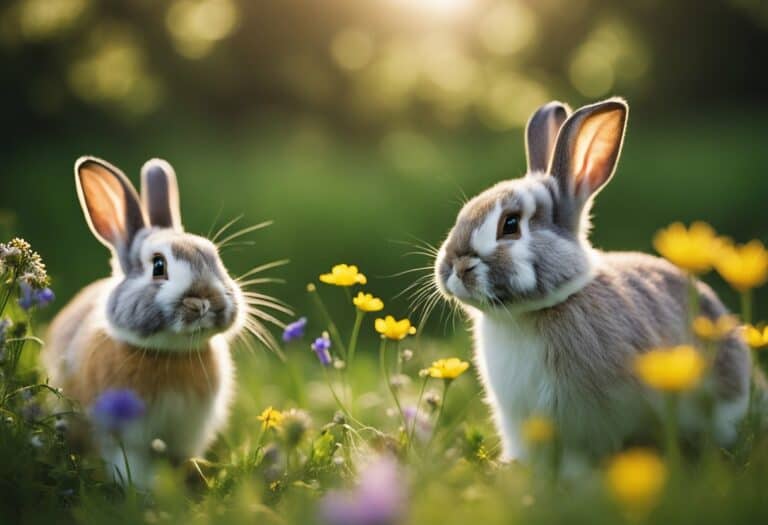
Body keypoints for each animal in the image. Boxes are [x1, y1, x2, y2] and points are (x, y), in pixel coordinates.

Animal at [44, 157, 247, 487]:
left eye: (213, 257)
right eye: (158, 266)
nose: (206, 302)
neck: (171, 354)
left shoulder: (187, 433)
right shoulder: (122, 436)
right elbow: (128, 464)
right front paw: (145, 489)